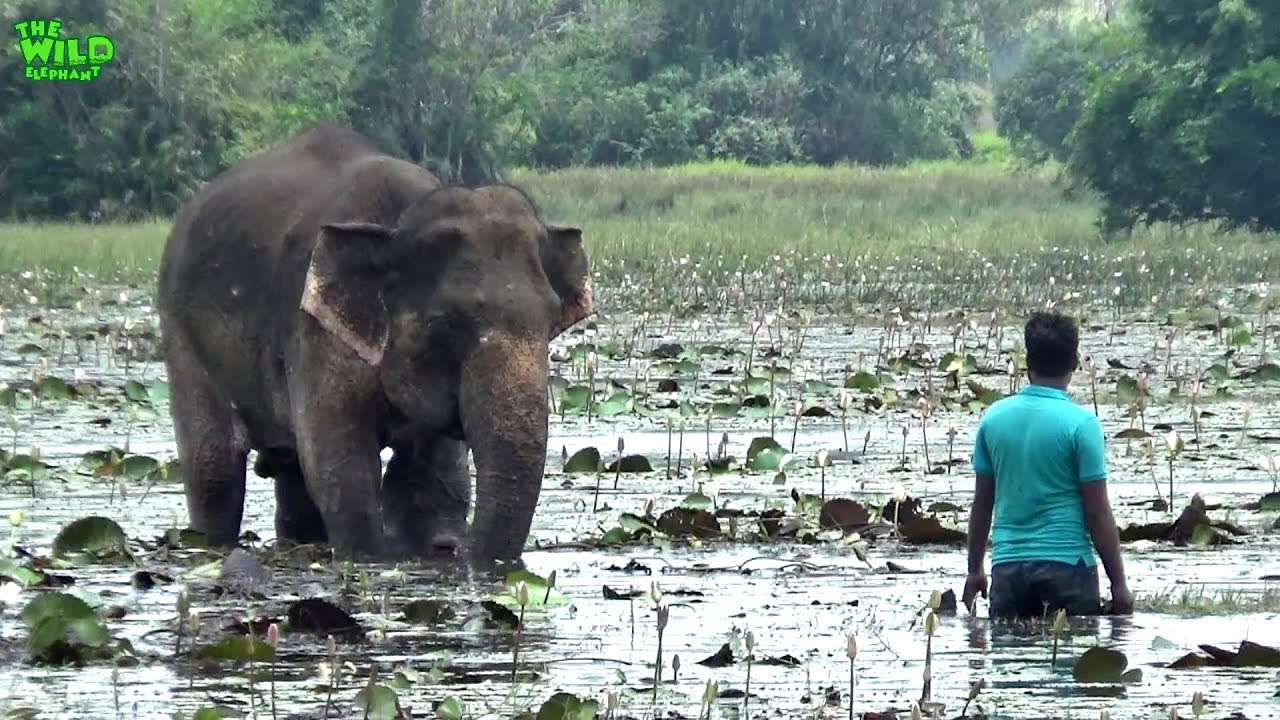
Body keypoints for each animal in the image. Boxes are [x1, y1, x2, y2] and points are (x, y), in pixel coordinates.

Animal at [155, 123, 593, 564]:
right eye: (445, 323)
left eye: (550, 317)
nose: (466, 554)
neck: (400, 220)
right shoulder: (313, 329)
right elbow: (339, 461)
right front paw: (369, 557)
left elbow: (426, 476)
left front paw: (431, 547)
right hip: (178, 330)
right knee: (215, 466)